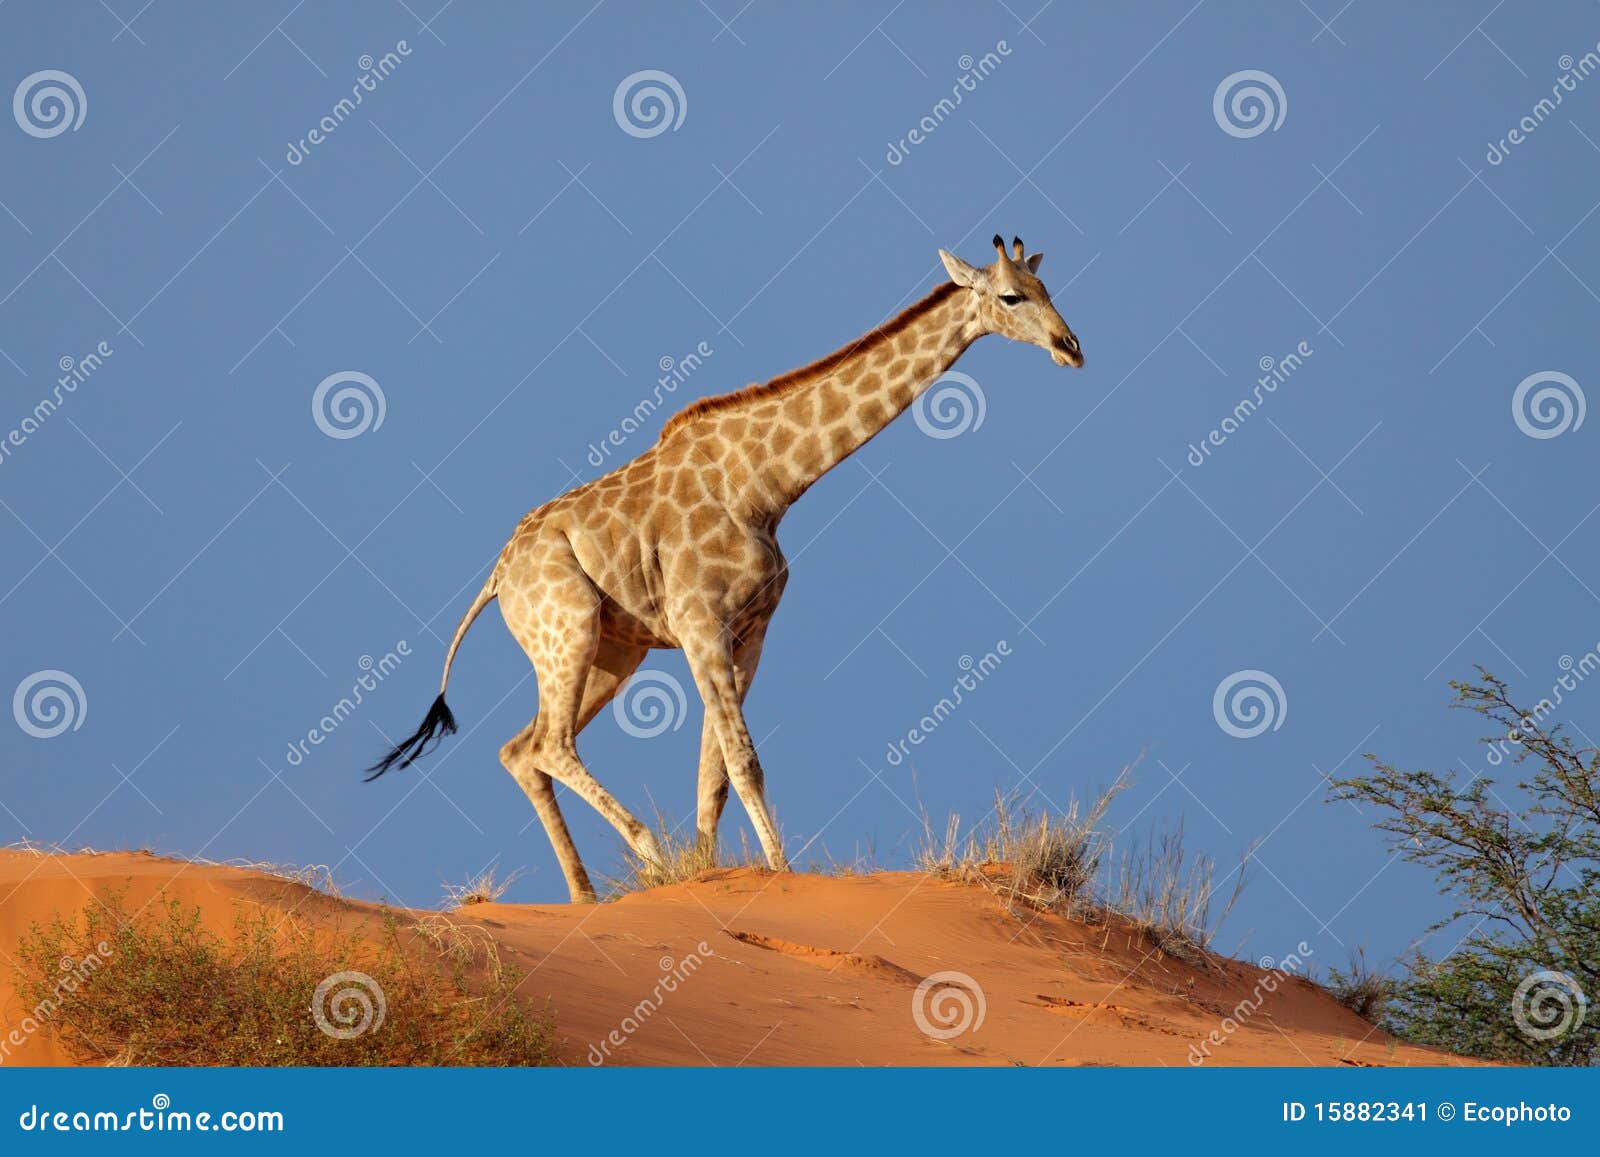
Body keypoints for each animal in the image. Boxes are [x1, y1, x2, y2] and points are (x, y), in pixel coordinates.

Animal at [369, 235, 1084, 902]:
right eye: (1010, 297)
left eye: (1047, 287)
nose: (1071, 347)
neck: (766, 485)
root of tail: (496, 578)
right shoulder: (699, 623)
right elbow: (743, 759)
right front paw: (776, 874)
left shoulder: (750, 629)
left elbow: (714, 771)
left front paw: (709, 875)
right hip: (566, 628)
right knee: (549, 745)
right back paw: (649, 856)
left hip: (612, 649)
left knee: (520, 749)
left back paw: (585, 897)